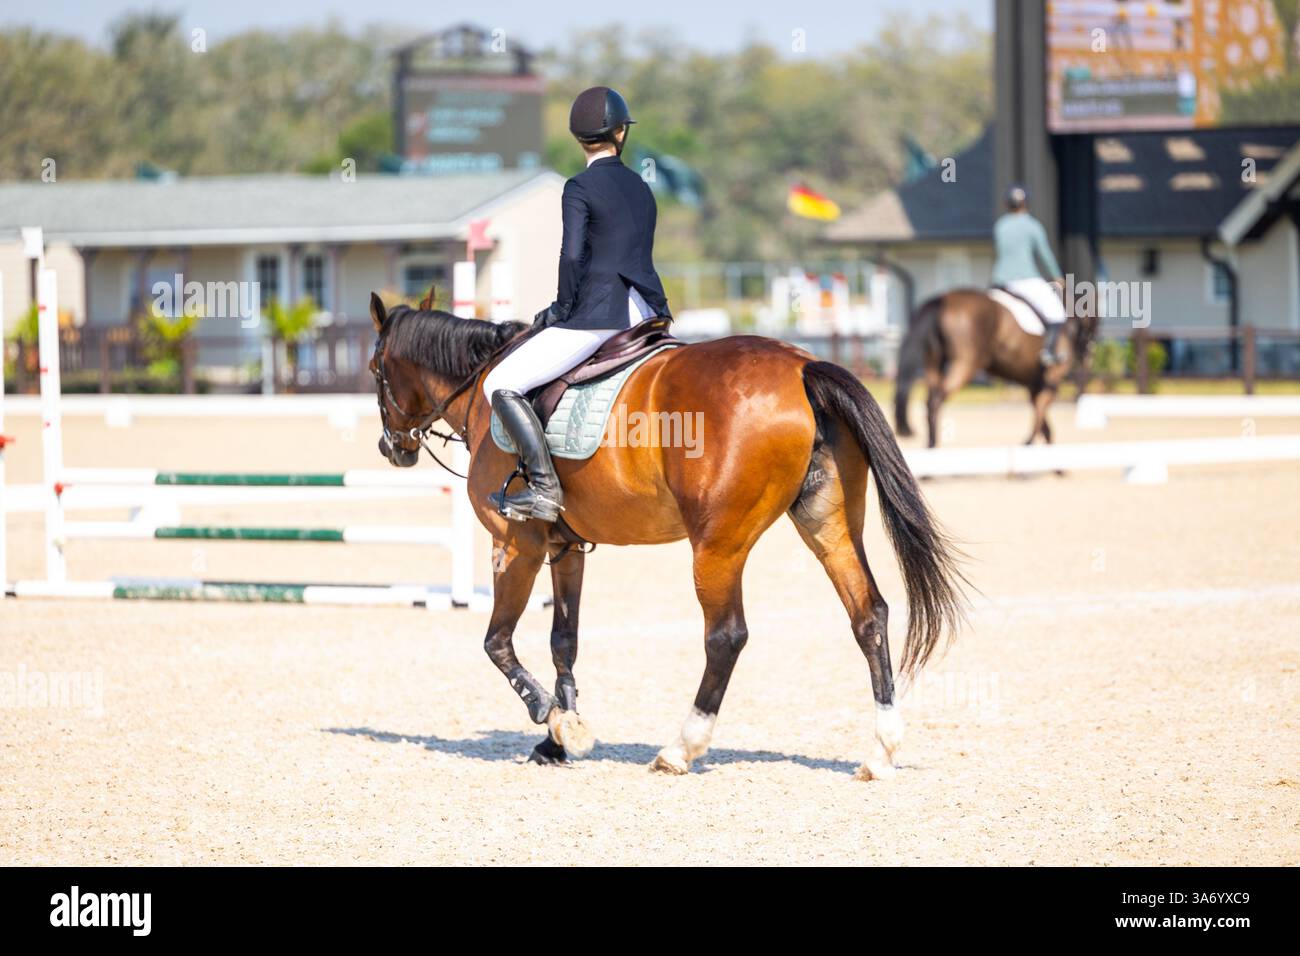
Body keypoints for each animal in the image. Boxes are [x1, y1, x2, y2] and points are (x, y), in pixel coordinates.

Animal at [367, 291, 966, 781]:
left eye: (375, 369)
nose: (391, 448)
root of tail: (802, 368)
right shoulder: (565, 549)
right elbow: (565, 642)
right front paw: (560, 737)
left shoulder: (517, 545)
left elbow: (497, 642)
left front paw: (551, 719)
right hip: (829, 525)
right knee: (869, 614)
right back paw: (881, 751)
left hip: (717, 546)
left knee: (726, 635)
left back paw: (681, 747)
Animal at [893, 288, 1096, 448]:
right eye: (1091, 329)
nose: (1089, 355)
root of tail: (942, 300)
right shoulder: (1049, 381)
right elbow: (1041, 416)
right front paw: (1029, 447)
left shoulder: (1033, 384)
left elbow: (1043, 422)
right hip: (965, 364)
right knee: (936, 400)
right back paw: (933, 448)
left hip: (934, 364)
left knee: (931, 399)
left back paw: (930, 447)